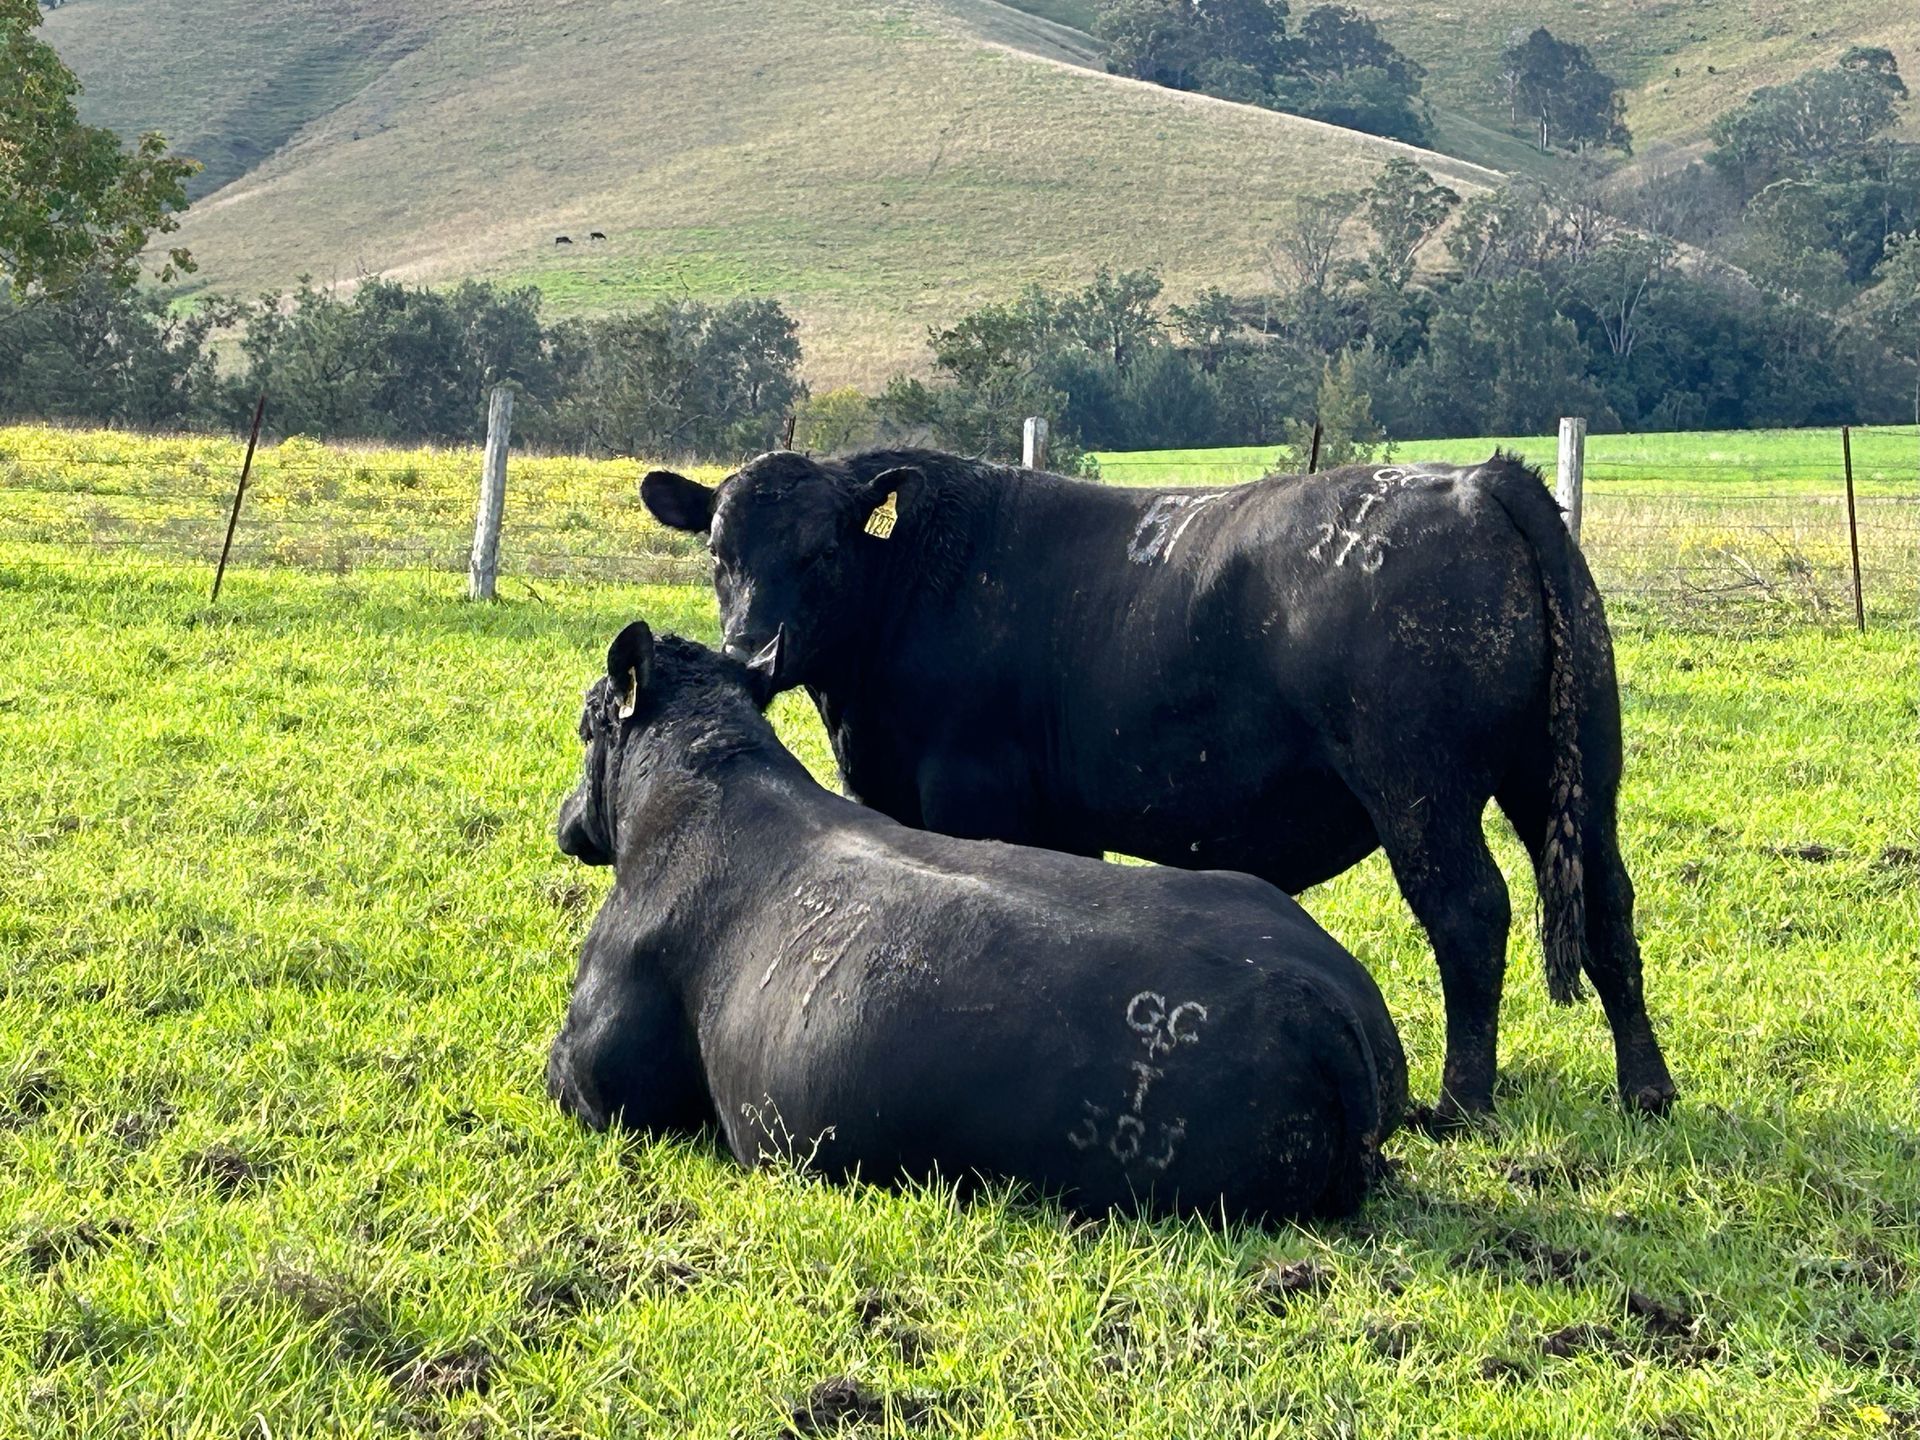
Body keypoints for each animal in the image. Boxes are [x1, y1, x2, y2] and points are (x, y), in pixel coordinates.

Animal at [639, 449, 1678, 1126]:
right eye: (719, 554)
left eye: (822, 551)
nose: (752, 650)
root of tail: (1477, 478)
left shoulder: (974, 794)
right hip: (1570, 772)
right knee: (1610, 909)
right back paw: (1647, 1089)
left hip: (1421, 785)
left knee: (1469, 911)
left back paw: (1462, 1102)